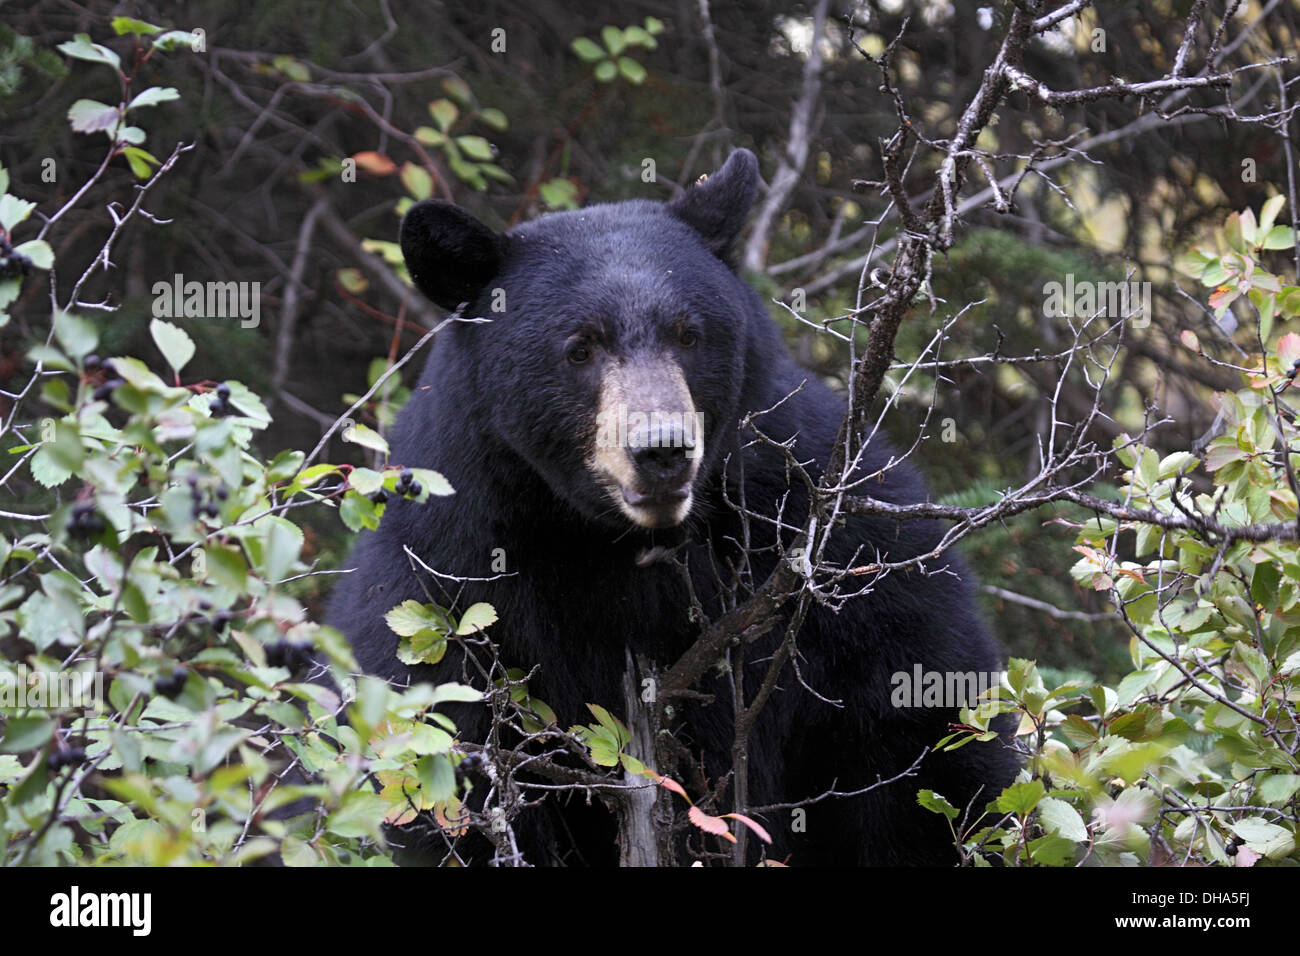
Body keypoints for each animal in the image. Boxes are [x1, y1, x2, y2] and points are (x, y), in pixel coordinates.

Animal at [326, 148, 1019, 866]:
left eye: (689, 334)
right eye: (580, 347)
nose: (661, 448)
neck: (617, 542)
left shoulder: (846, 549)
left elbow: (922, 744)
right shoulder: (446, 587)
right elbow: (463, 785)